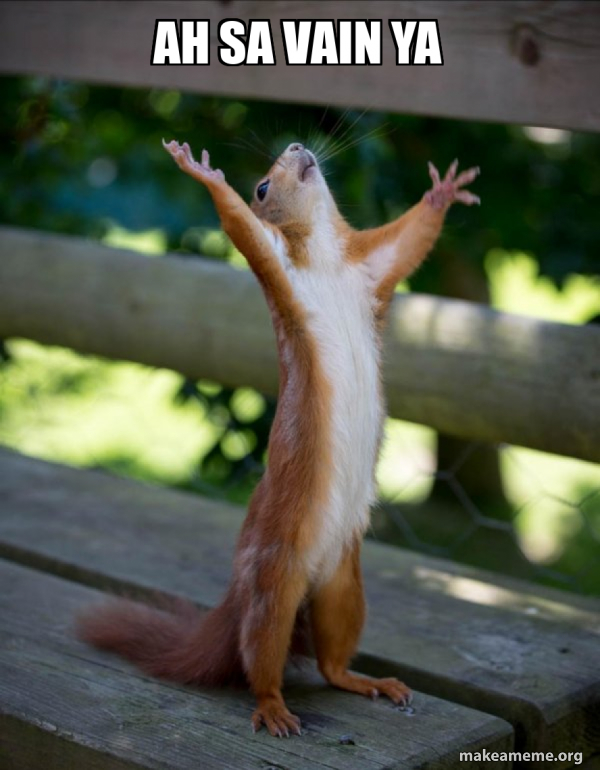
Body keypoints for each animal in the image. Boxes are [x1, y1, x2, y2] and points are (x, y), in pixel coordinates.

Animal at [77, 138, 479, 738]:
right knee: (260, 658)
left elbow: (409, 240)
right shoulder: (277, 266)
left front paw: (443, 192)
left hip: (344, 586)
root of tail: (239, 595)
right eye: (262, 186)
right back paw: (273, 708)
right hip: (273, 585)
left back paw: (368, 681)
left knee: (332, 661)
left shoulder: (372, 267)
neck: (327, 257)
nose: (296, 147)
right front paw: (204, 174)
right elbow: (240, 226)